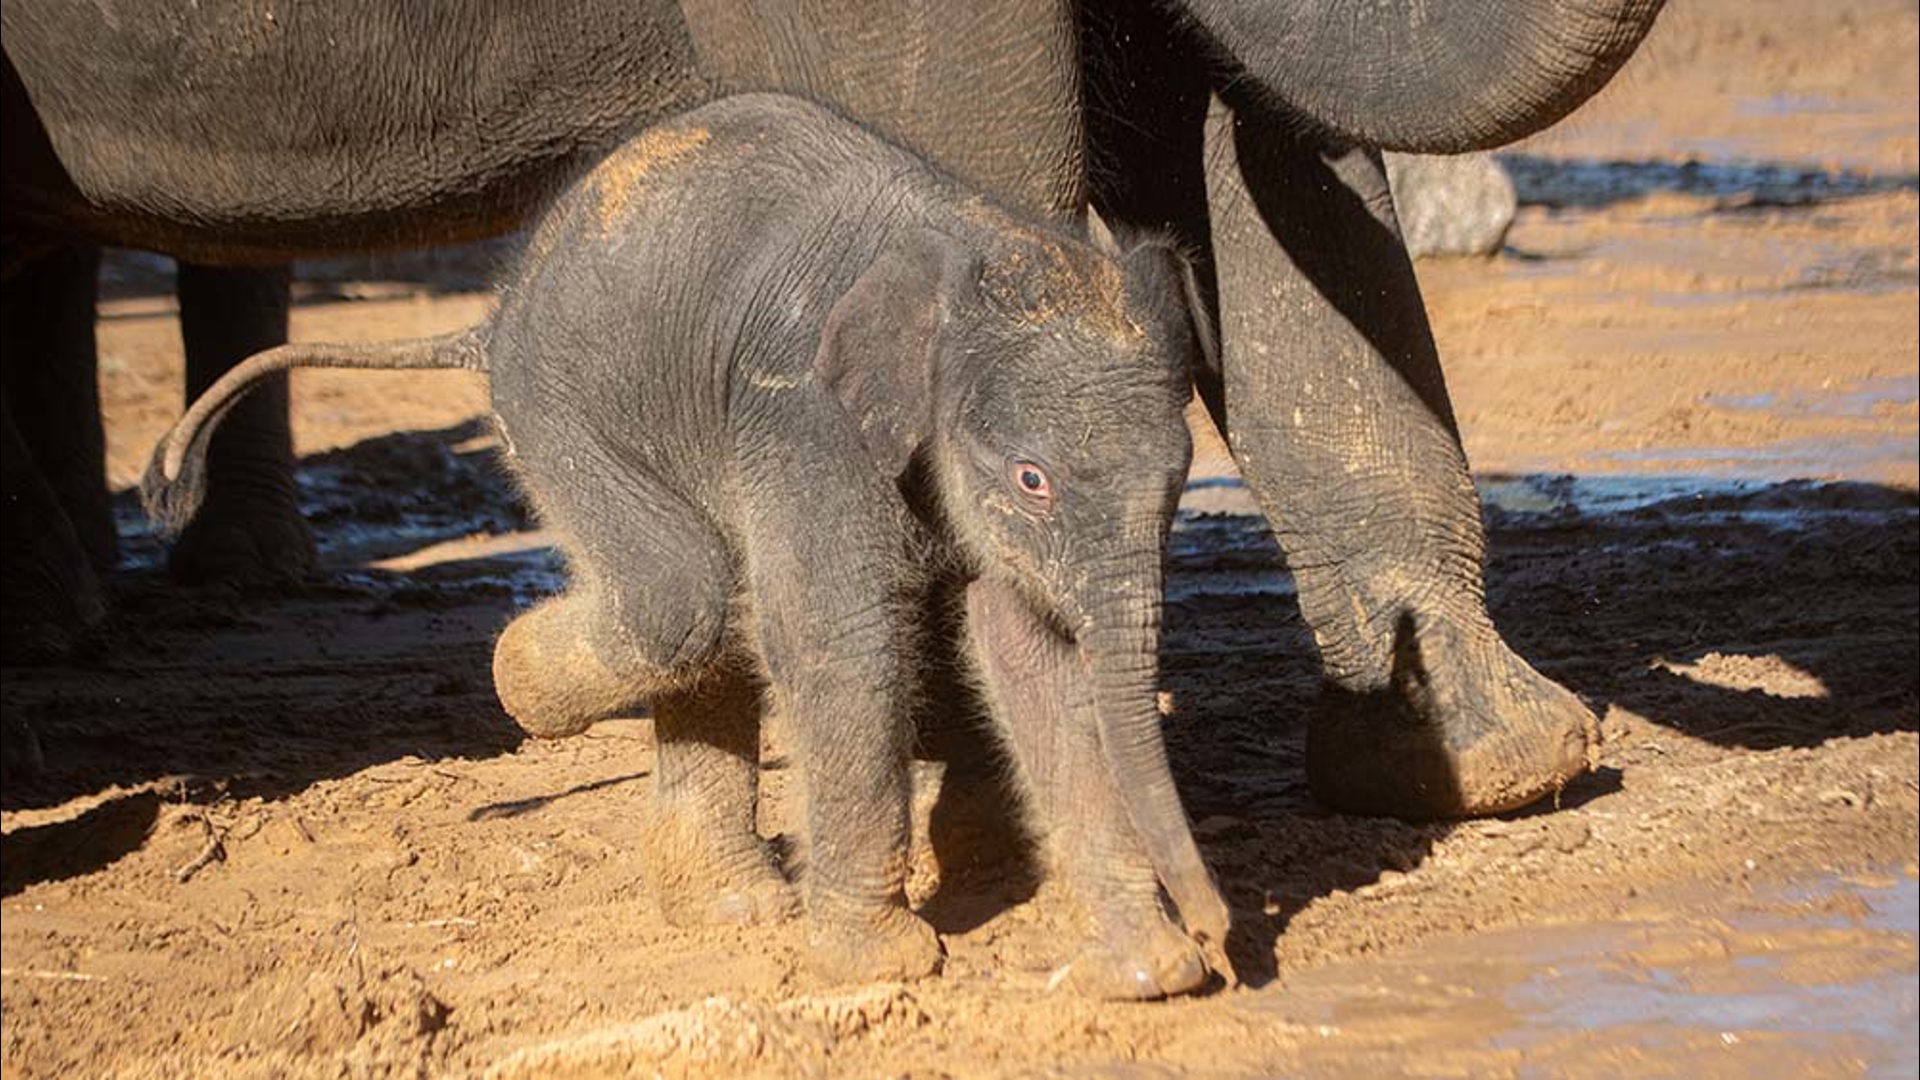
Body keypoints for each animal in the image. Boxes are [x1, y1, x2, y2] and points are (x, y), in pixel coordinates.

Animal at [141, 93, 1231, 998]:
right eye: (1033, 479)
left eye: (1182, 473)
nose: (1222, 937)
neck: (980, 247)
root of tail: (491, 320)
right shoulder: (803, 414)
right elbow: (843, 640)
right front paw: (887, 966)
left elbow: (1033, 658)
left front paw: (1147, 976)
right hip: (563, 413)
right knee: (690, 597)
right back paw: (519, 682)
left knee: (717, 610)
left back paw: (731, 904)